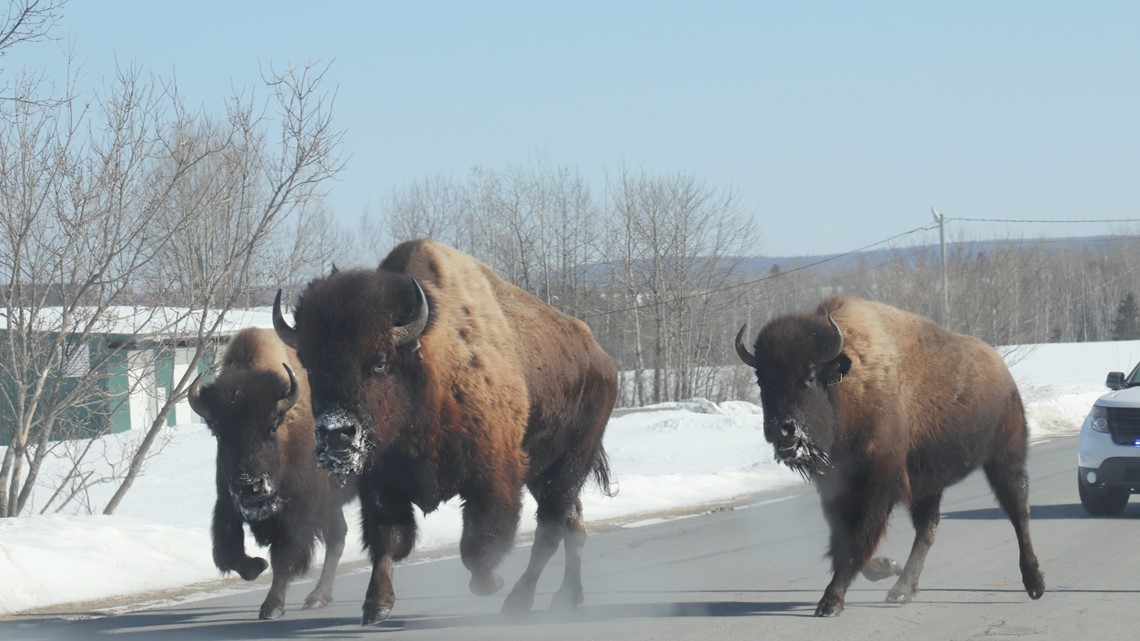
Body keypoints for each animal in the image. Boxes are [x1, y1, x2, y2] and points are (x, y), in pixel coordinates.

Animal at [188, 328, 355, 620]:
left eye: (272, 426)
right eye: (218, 432)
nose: (251, 486)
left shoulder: (298, 513)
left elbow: (284, 557)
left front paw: (272, 606)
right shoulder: (228, 505)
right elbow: (225, 552)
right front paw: (257, 565)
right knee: (337, 537)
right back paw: (317, 597)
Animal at [273, 239, 618, 625]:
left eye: (379, 362)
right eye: (310, 365)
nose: (336, 434)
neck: (425, 369)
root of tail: (601, 357)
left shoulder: (494, 477)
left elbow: (478, 544)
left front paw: (490, 583)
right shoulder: (380, 484)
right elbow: (387, 540)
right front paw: (376, 605)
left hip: (569, 465)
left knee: (550, 531)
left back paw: (519, 600)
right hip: (544, 475)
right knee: (573, 526)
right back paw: (566, 597)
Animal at [735, 295, 1044, 616]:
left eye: (809, 377)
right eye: (761, 380)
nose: (781, 429)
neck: (845, 389)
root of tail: (1002, 370)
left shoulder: (878, 487)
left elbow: (856, 540)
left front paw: (830, 601)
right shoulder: (836, 487)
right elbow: (841, 538)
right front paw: (887, 567)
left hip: (1005, 458)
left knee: (1018, 512)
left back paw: (1034, 583)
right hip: (929, 485)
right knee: (927, 530)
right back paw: (902, 589)